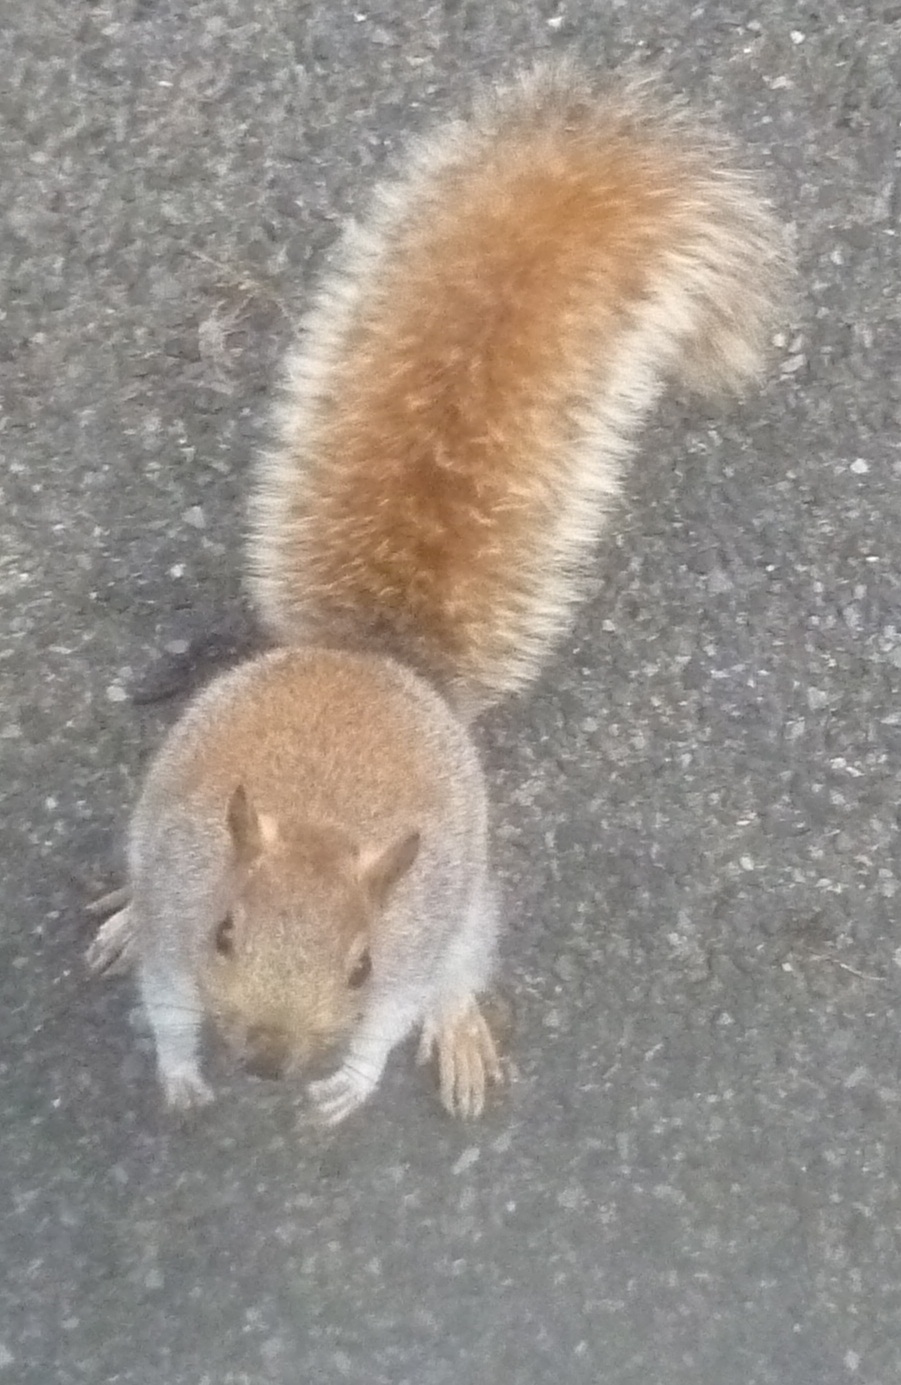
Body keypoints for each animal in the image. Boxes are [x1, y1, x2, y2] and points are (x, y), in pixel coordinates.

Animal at [86, 63, 789, 1125]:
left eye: (361, 965)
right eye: (223, 932)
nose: (267, 1062)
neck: (319, 821)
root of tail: (375, 658)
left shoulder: (413, 943)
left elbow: (393, 1016)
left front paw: (349, 1083)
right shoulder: (181, 902)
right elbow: (167, 1000)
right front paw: (181, 1073)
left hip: (468, 895)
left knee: (461, 966)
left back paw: (456, 1031)